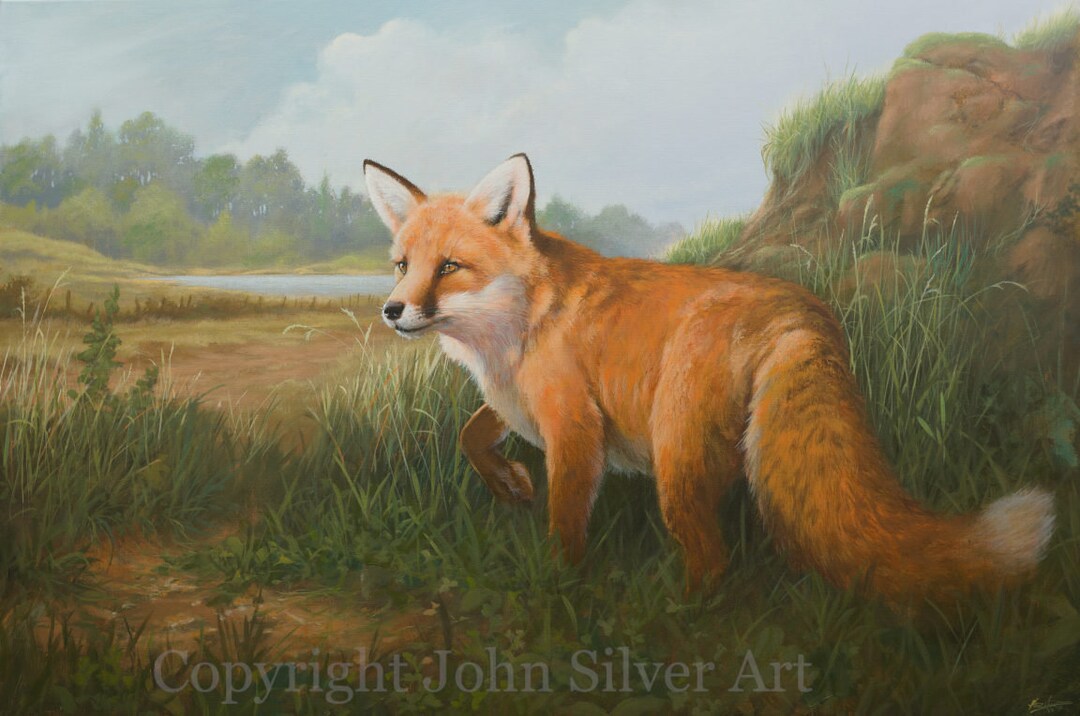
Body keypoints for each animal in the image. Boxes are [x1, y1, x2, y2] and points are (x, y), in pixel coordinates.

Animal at [362, 153, 1055, 604]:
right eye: (402, 265)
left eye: (449, 267)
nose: (392, 310)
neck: (518, 327)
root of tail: (801, 312)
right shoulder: (517, 406)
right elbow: (472, 437)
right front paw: (510, 483)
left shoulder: (576, 427)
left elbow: (564, 524)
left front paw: (559, 584)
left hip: (677, 464)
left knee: (714, 563)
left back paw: (683, 624)